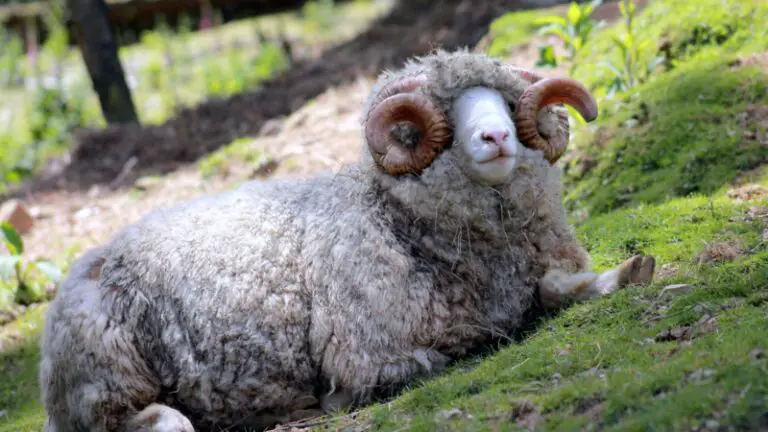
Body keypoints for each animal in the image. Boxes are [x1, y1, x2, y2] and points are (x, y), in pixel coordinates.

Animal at [39, 49, 656, 432]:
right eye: (447, 110)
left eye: (505, 100)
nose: (497, 137)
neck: (390, 215)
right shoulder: (363, 350)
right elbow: (429, 359)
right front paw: (333, 399)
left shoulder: (536, 267)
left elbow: (562, 288)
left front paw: (631, 272)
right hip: (108, 379)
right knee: (147, 420)